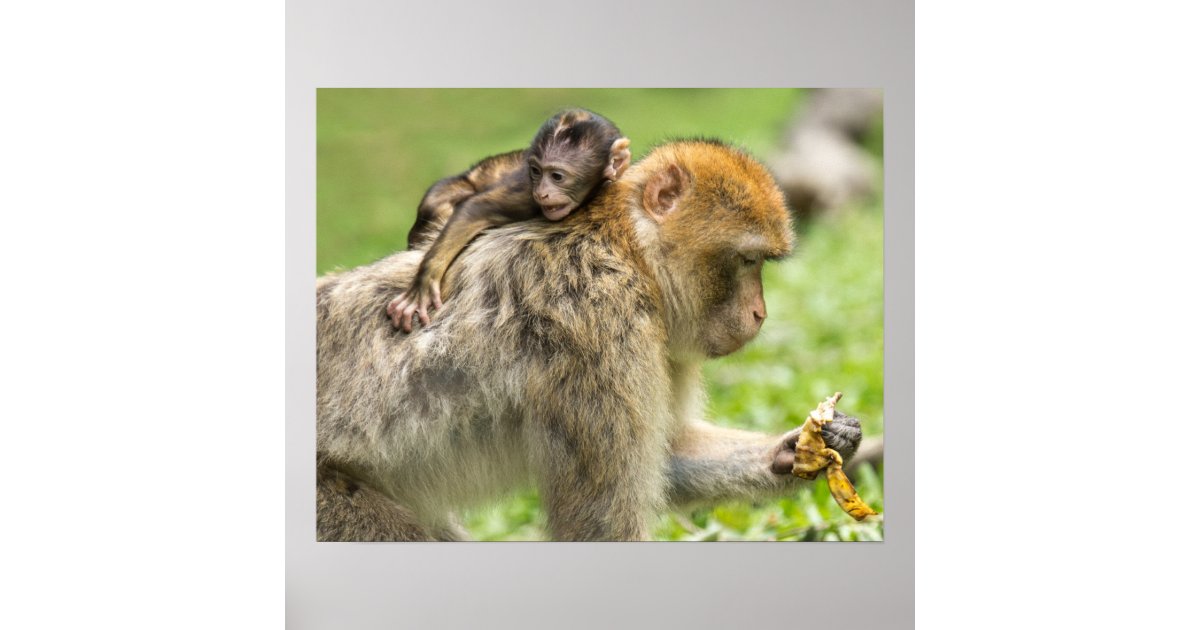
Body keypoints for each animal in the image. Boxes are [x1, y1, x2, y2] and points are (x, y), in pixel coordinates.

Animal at [316, 139, 862, 541]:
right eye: (748, 260)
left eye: (762, 262)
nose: (759, 313)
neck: (628, 251)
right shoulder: (598, 326)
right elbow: (602, 524)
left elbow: (668, 455)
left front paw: (804, 446)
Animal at [386, 108, 632, 332]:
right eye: (536, 171)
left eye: (557, 176)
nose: (542, 192)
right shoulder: (526, 195)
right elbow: (475, 209)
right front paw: (423, 284)